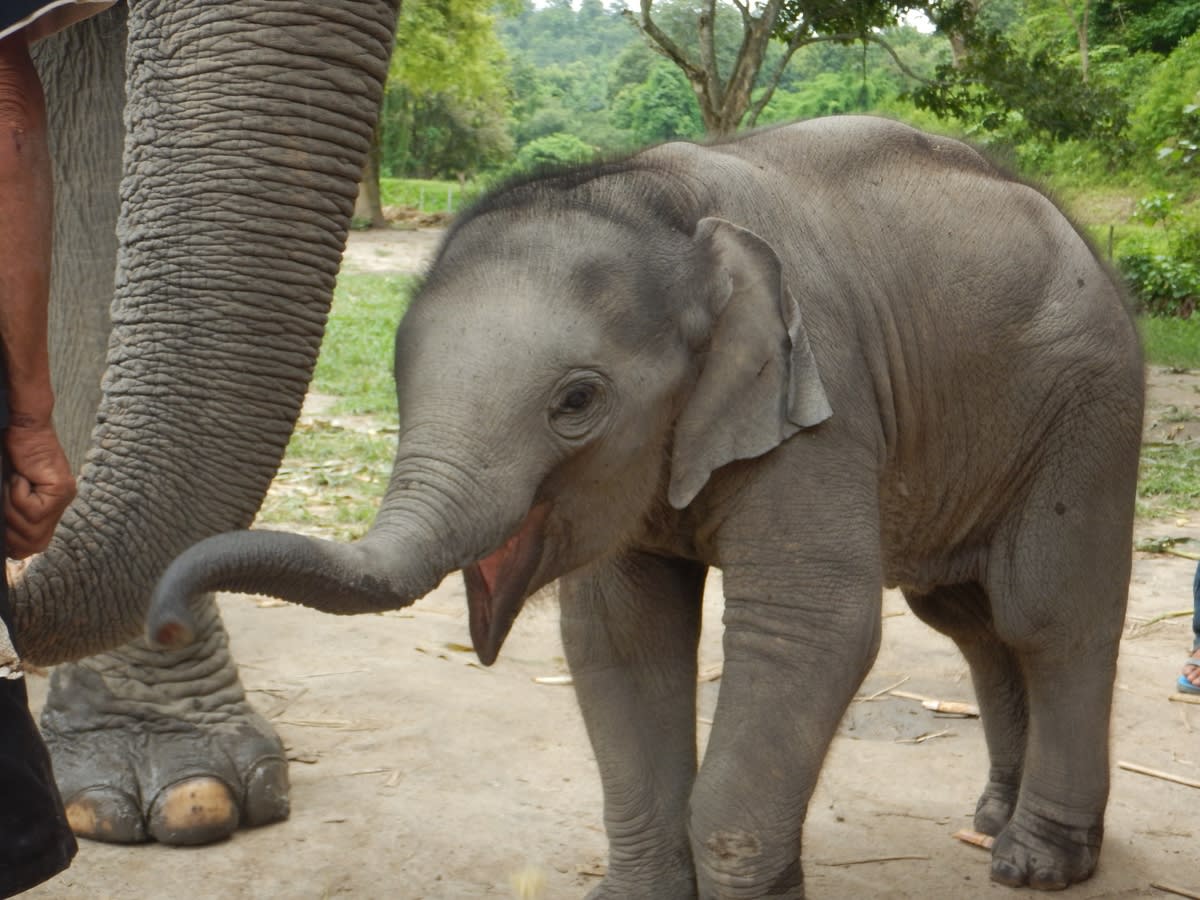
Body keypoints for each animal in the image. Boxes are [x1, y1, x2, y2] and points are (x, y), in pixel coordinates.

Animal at [147, 115, 1144, 897]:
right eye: (399, 381)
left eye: (576, 401)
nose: (163, 621)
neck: (657, 202)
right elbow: (621, 637)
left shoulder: (822, 400)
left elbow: (809, 629)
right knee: (969, 619)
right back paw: (994, 818)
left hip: (1090, 407)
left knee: (1046, 614)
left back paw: (1036, 863)